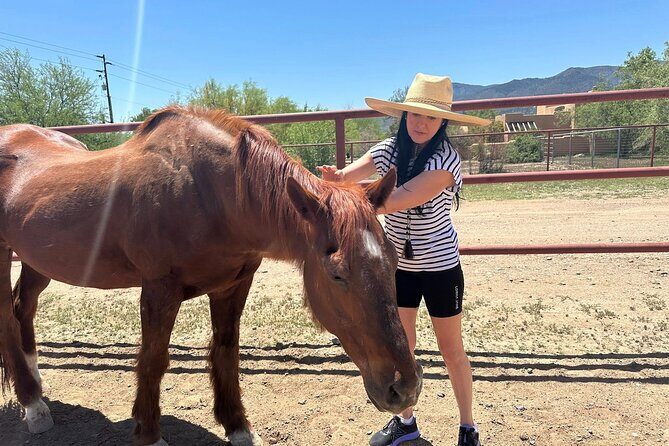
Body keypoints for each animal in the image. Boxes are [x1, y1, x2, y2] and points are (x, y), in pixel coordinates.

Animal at [0, 106, 422, 445]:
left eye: (393, 261)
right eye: (337, 275)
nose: (404, 387)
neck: (210, 193)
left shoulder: (233, 285)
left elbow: (226, 352)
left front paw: (237, 427)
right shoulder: (159, 289)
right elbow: (153, 360)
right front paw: (149, 434)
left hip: (39, 261)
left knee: (24, 308)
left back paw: (35, 388)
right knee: (8, 317)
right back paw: (33, 405)